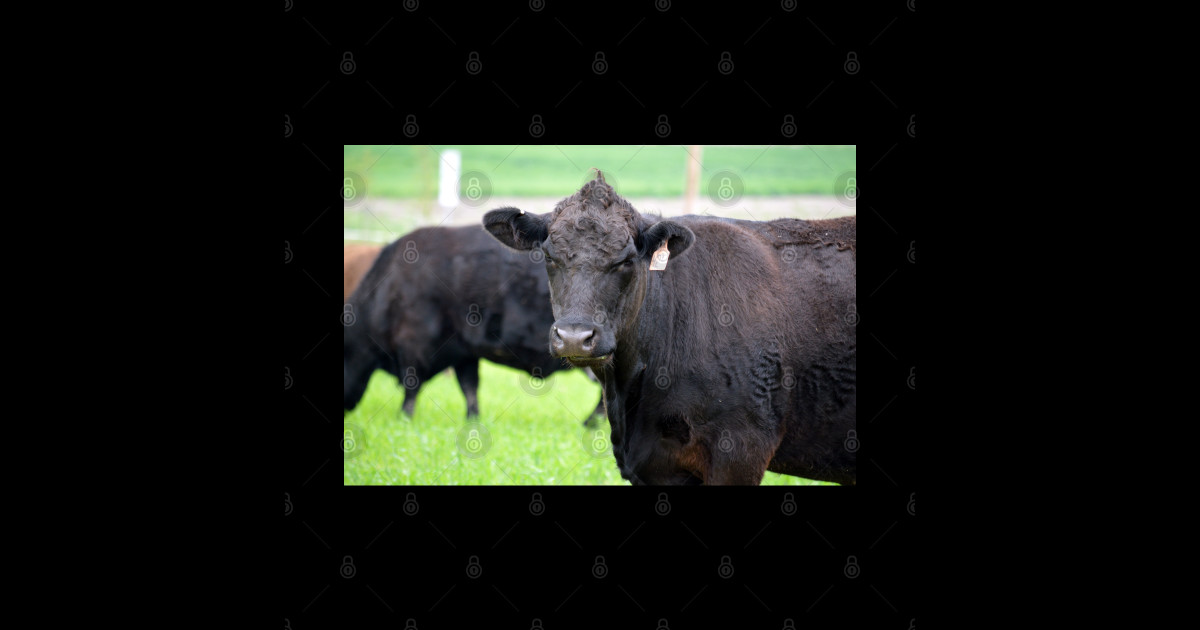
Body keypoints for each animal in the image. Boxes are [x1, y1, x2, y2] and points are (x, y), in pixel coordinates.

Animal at [344, 225, 606, 426]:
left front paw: (404, 419)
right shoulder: (464, 353)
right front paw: (473, 420)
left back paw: (590, 424)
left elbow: (412, 386)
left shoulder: (413, 344)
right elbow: (469, 388)